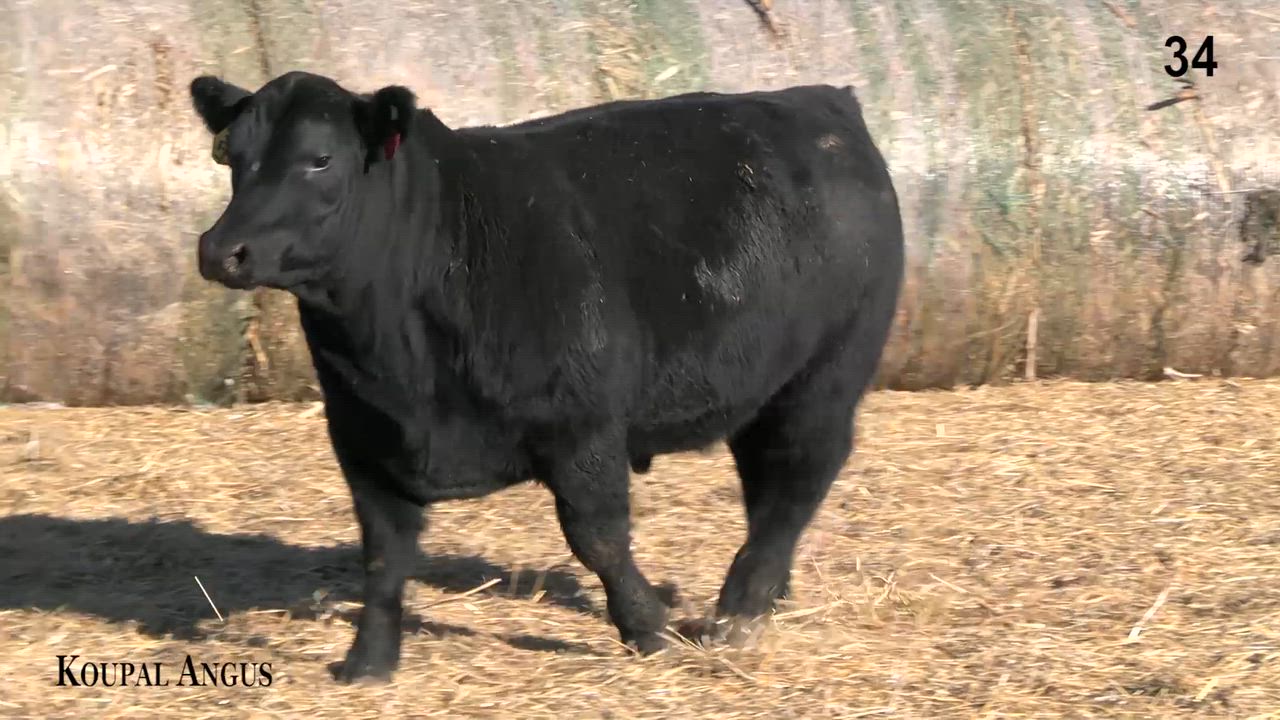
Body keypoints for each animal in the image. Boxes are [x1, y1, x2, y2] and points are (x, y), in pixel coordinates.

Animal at [188, 70, 905, 683]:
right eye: (230, 155)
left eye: (320, 159)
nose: (221, 249)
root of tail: (821, 100)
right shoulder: (363, 439)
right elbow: (385, 554)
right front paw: (368, 662)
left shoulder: (584, 429)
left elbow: (600, 540)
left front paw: (648, 629)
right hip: (763, 390)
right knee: (766, 485)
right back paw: (768, 594)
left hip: (826, 375)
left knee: (799, 476)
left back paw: (741, 613)